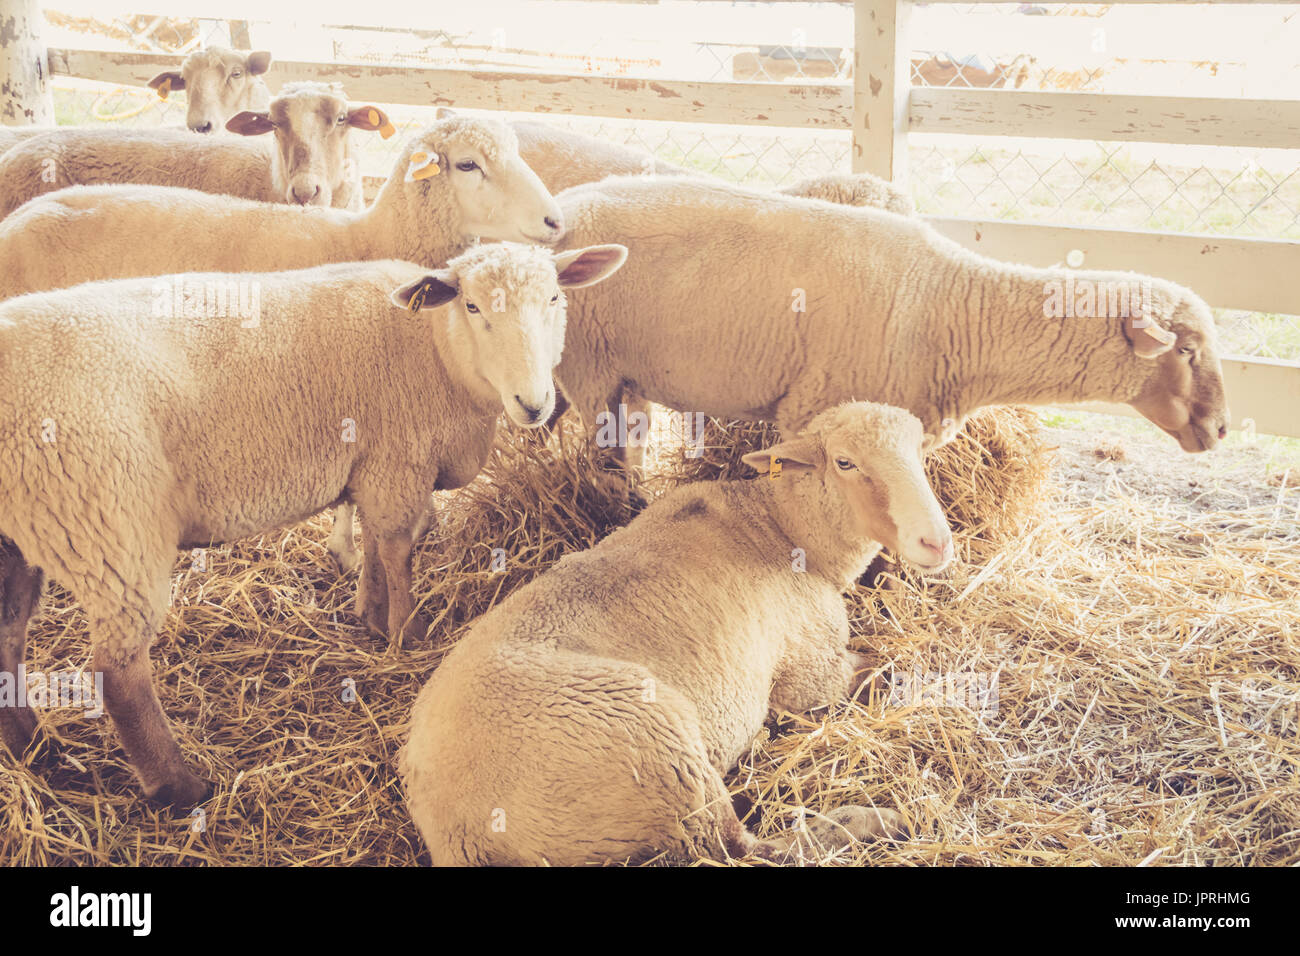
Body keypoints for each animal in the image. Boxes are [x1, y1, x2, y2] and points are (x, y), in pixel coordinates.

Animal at [0, 241, 628, 807]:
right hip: (106, 522)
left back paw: (38, 750)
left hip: (22, 539)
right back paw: (179, 787)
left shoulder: (375, 461)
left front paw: (371, 612)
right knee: (119, 670)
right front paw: (407, 634)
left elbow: (377, 543)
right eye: (472, 306)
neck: (435, 347)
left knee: (9, 635)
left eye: (555, 297)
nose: (534, 403)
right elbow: (400, 547)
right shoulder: (399, 457)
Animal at [400, 400, 950, 866]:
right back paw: (875, 821)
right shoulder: (811, 673)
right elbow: (888, 666)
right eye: (844, 462)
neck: (784, 529)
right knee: (737, 847)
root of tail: (457, 835)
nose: (937, 541)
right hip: (656, 742)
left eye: (921, 451)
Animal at [548, 174, 1229, 477]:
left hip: (617, 376)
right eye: (1188, 351)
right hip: (590, 369)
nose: (1221, 428)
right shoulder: (812, 413)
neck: (958, 309)